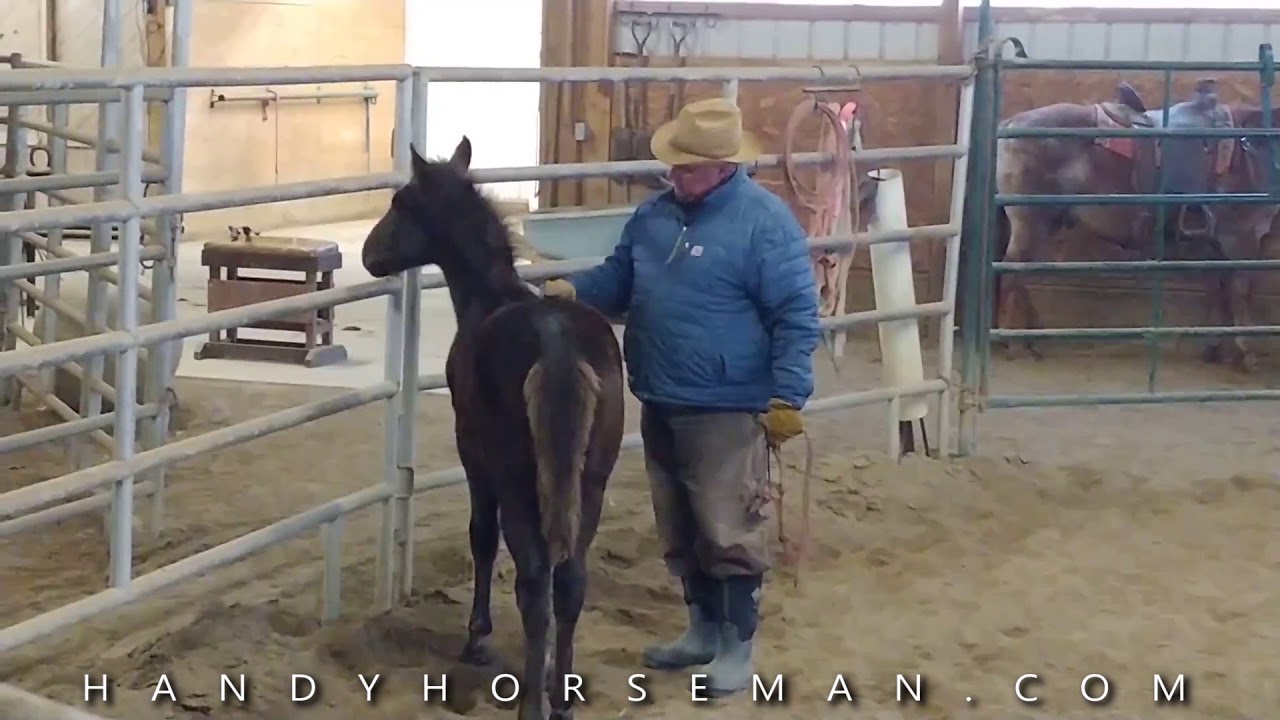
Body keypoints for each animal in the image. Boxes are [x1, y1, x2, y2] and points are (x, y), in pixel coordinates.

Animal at [361, 136, 626, 720]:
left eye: (402, 203)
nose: (369, 254)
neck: (493, 298)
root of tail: (555, 343)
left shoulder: (475, 459)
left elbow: (480, 537)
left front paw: (477, 638)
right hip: (591, 484)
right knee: (569, 582)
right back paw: (561, 698)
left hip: (519, 484)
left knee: (534, 585)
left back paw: (532, 703)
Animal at [992, 79, 1280, 371]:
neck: (1254, 149)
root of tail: (1011, 123)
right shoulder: (1240, 238)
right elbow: (1240, 292)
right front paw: (1246, 352)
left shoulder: (1215, 244)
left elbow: (1219, 291)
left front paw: (1216, 348)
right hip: (1029, 221)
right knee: (1012, 270)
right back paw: (1012, 342)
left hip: (1044, 223)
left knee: (1022, 274)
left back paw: (1033, 338)